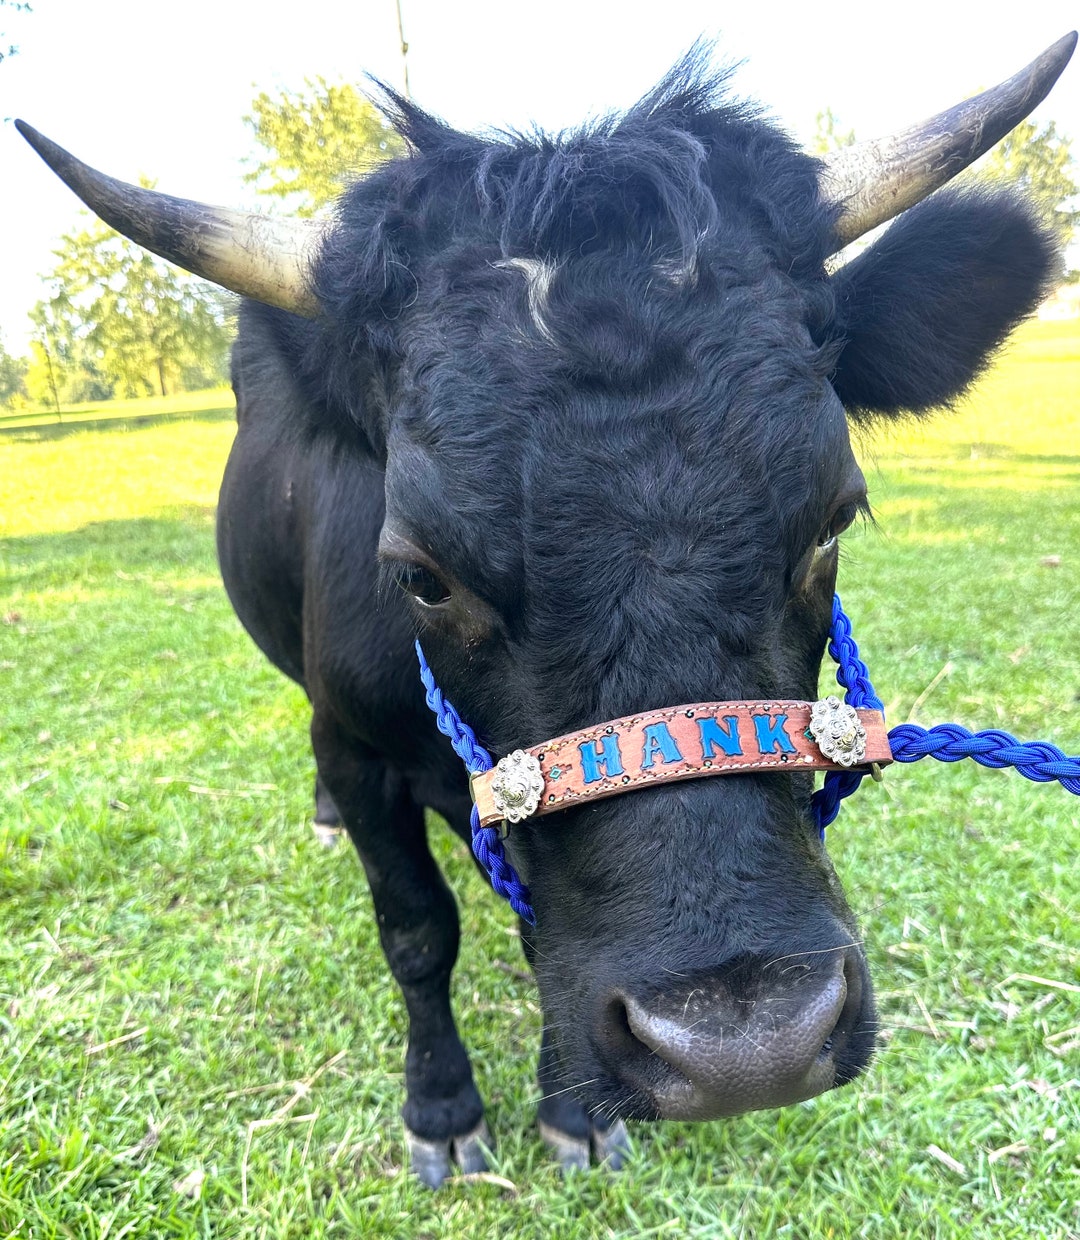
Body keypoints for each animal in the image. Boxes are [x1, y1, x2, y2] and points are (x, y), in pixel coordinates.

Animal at [17, 33, 1075, 1188]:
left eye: (833, 519)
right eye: (421, 571)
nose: (745, 1048)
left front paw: (572, 1106)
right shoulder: (354, 742)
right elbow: (417, 931)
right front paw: (441, 1107)